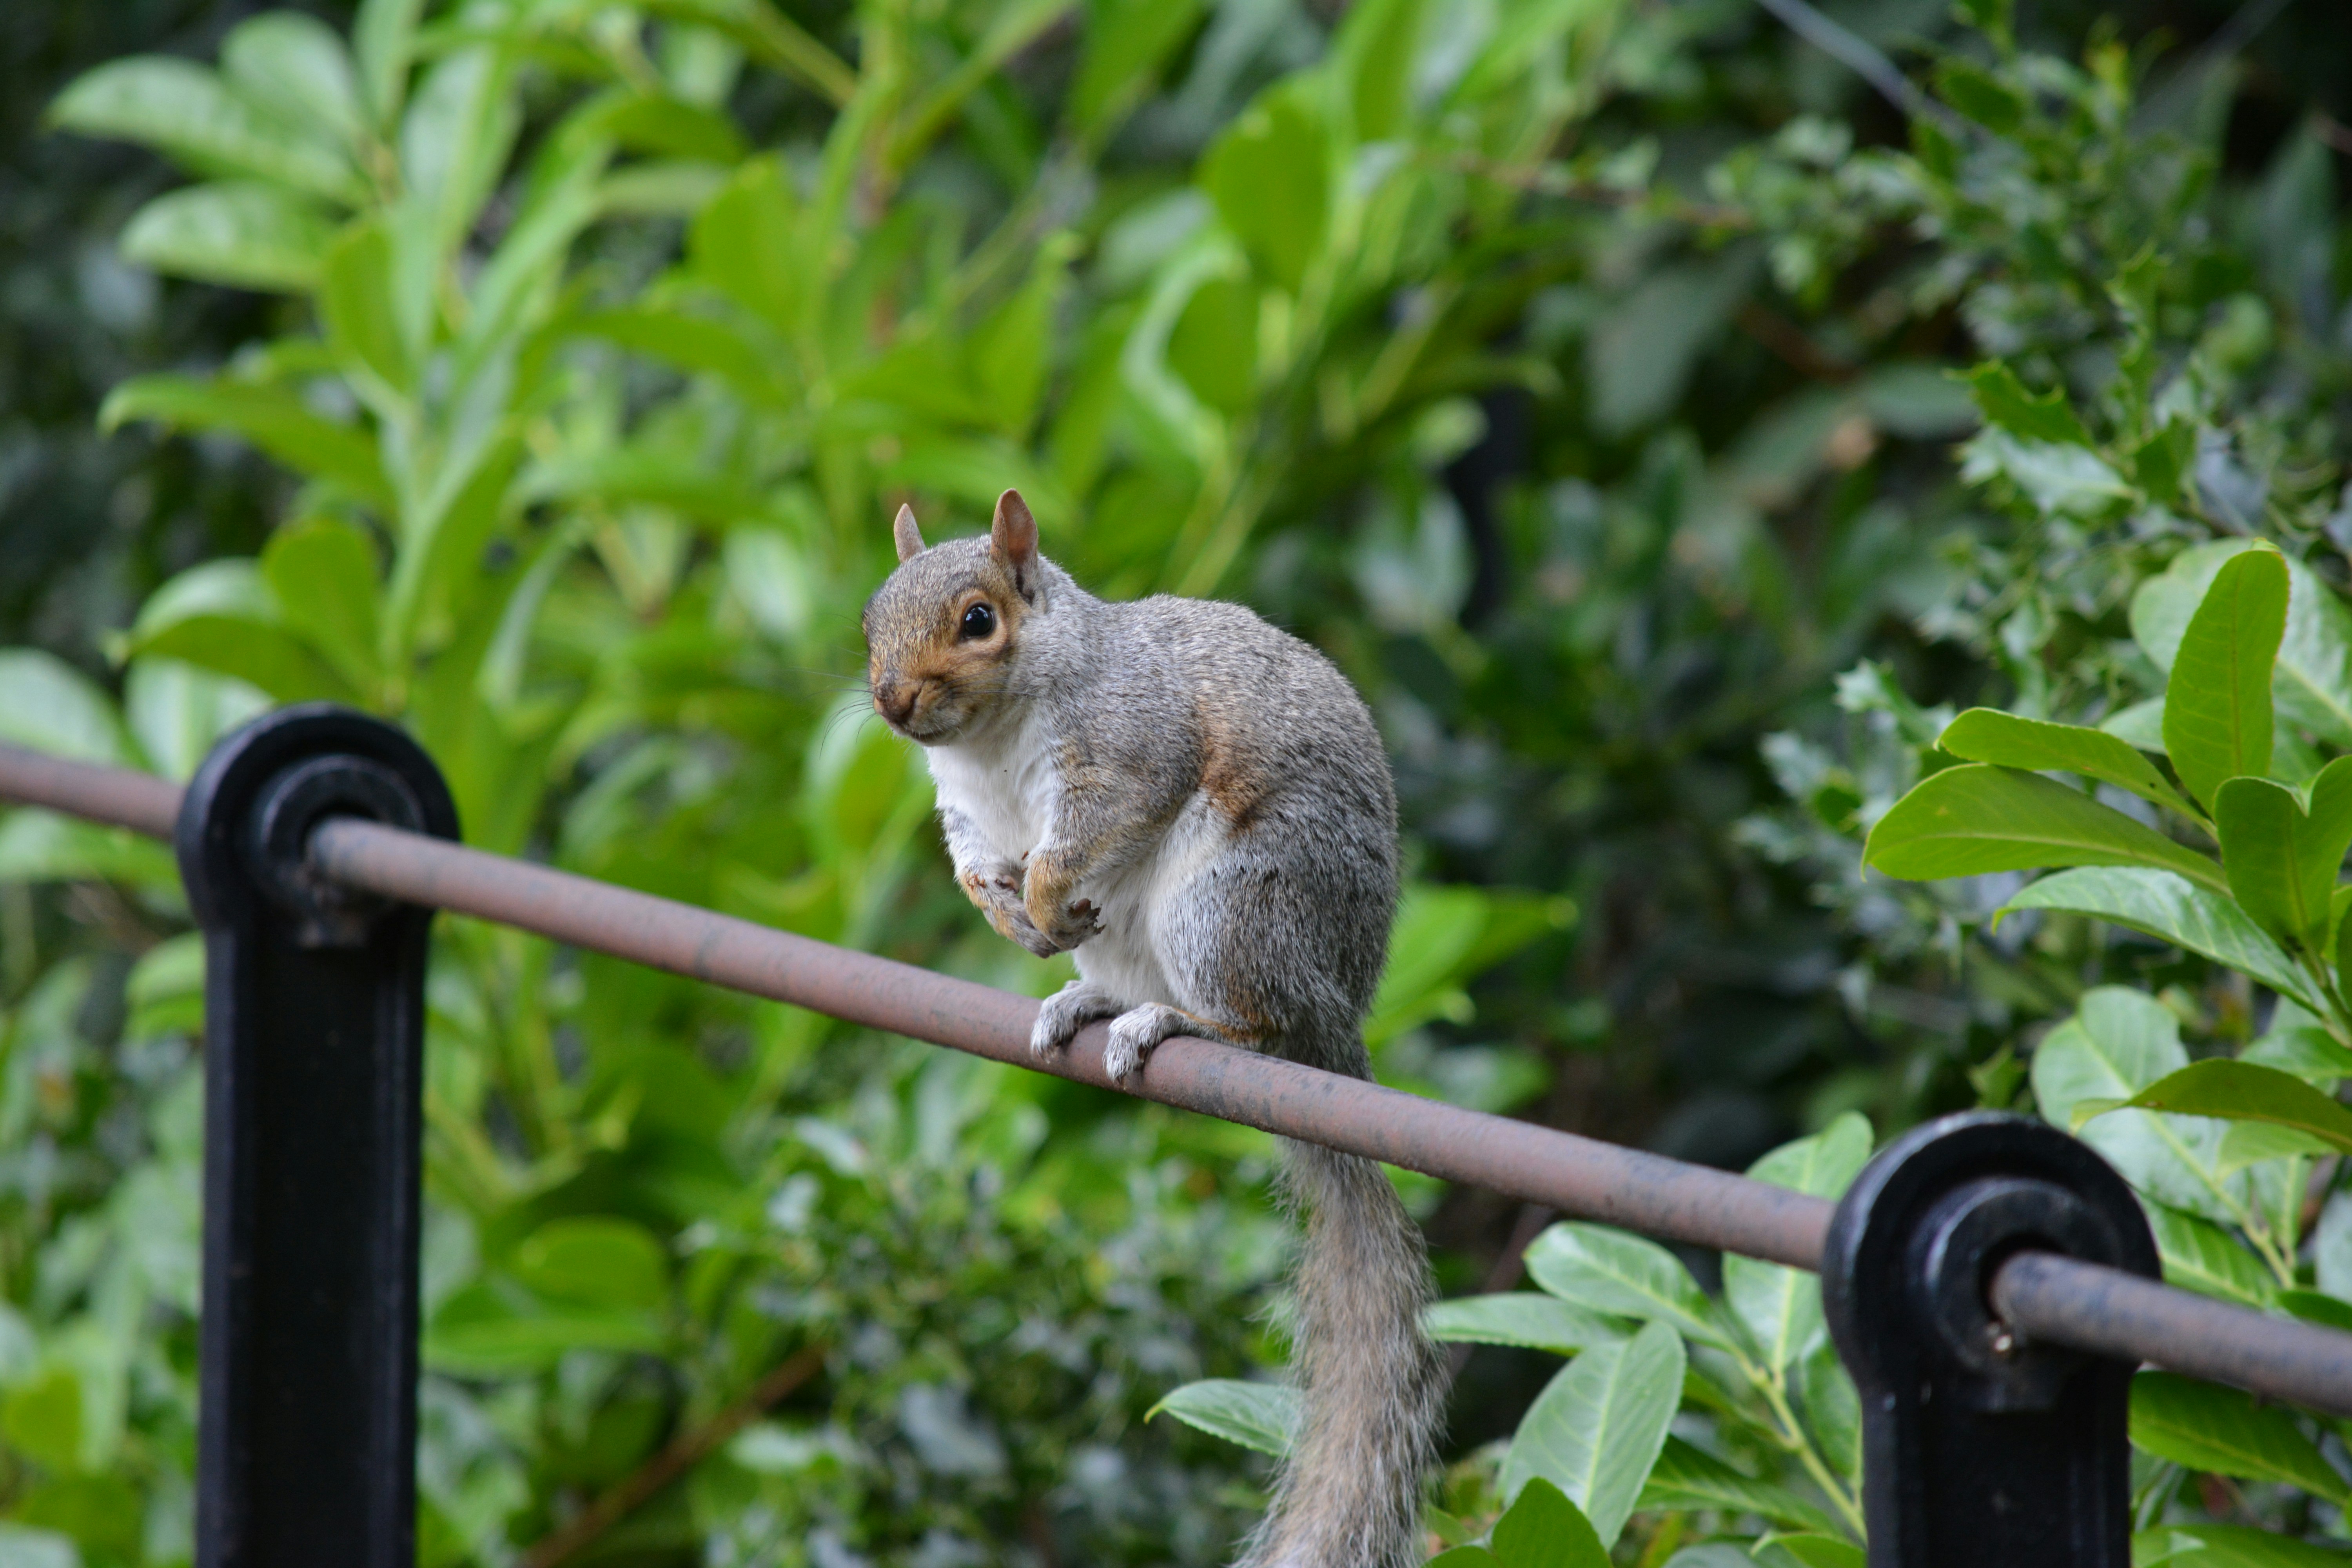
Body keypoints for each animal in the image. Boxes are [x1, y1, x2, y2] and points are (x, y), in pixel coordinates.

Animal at [863, 489, 1447, 1568]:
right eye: (871, 617)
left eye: (978, 621)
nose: (890, 702)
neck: (991, 740)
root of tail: (1340, 1022)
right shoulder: (966, 807)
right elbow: (972, 861)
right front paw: (1007, 913)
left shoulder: (1130, 744)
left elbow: (1092, 829)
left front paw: (1040, 896)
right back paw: (1082, 1001)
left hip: (1228, 906)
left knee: (1260, 1026)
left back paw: (1178, 1022)